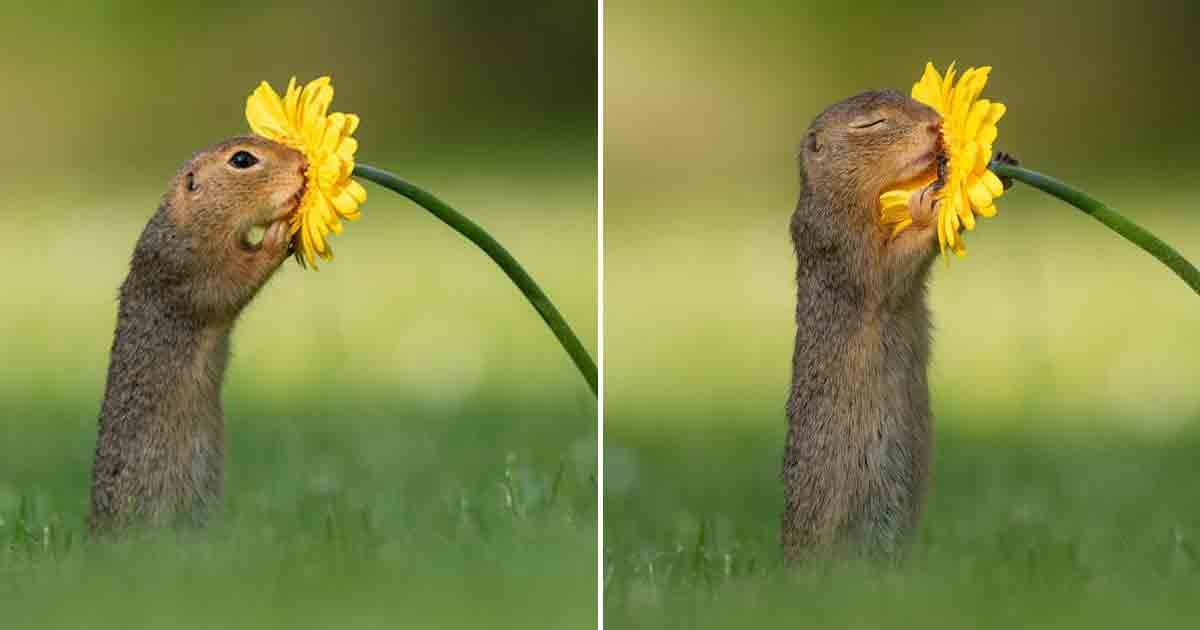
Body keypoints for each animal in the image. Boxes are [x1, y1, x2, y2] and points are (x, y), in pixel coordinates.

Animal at [88, 136, 304, 535]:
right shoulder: (191, 269)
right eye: (242, 160)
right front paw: (278, 235)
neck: (189, 220)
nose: (302, 164)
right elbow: (233, 281)